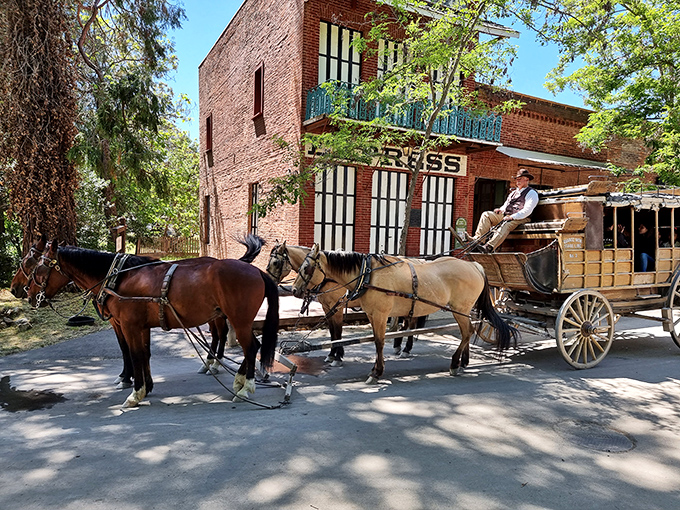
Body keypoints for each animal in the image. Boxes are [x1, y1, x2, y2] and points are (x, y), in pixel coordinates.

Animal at [27, 240, 279, 407]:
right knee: (247, 346)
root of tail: (256, 271)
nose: (28, 295)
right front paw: (147, 387)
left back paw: (246, 387)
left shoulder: (128, 325)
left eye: (38, 267)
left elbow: (135, 354)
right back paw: (238, 379)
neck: (119, 278)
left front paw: (135, 392)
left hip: (239, 320)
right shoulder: (142, 326)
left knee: (250, 347)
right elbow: (145, 354)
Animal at [266, 242, 424, 365]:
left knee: (411, 323)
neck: (329, 276)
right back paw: (399, 346)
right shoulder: (327, 307)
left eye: (276, 262)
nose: (268, 282)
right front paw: (332, 355)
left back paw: (406, 349)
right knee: (407, 323)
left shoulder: (337, 307)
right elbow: (332, 332)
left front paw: (337, 356)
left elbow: (338, 332)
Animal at [291, 244, 517, 384]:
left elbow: (379, 342)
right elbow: (373, 340)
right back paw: (463, 361)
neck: (368, 275)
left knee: (467, 333)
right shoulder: (372, 314)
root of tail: (474, 265)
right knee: (468, 332)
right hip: (463, 311)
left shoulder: (381, 314)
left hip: (461, 310)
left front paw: (376, 372)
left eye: (307, 267)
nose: (293, 290)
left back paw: (455, 363)